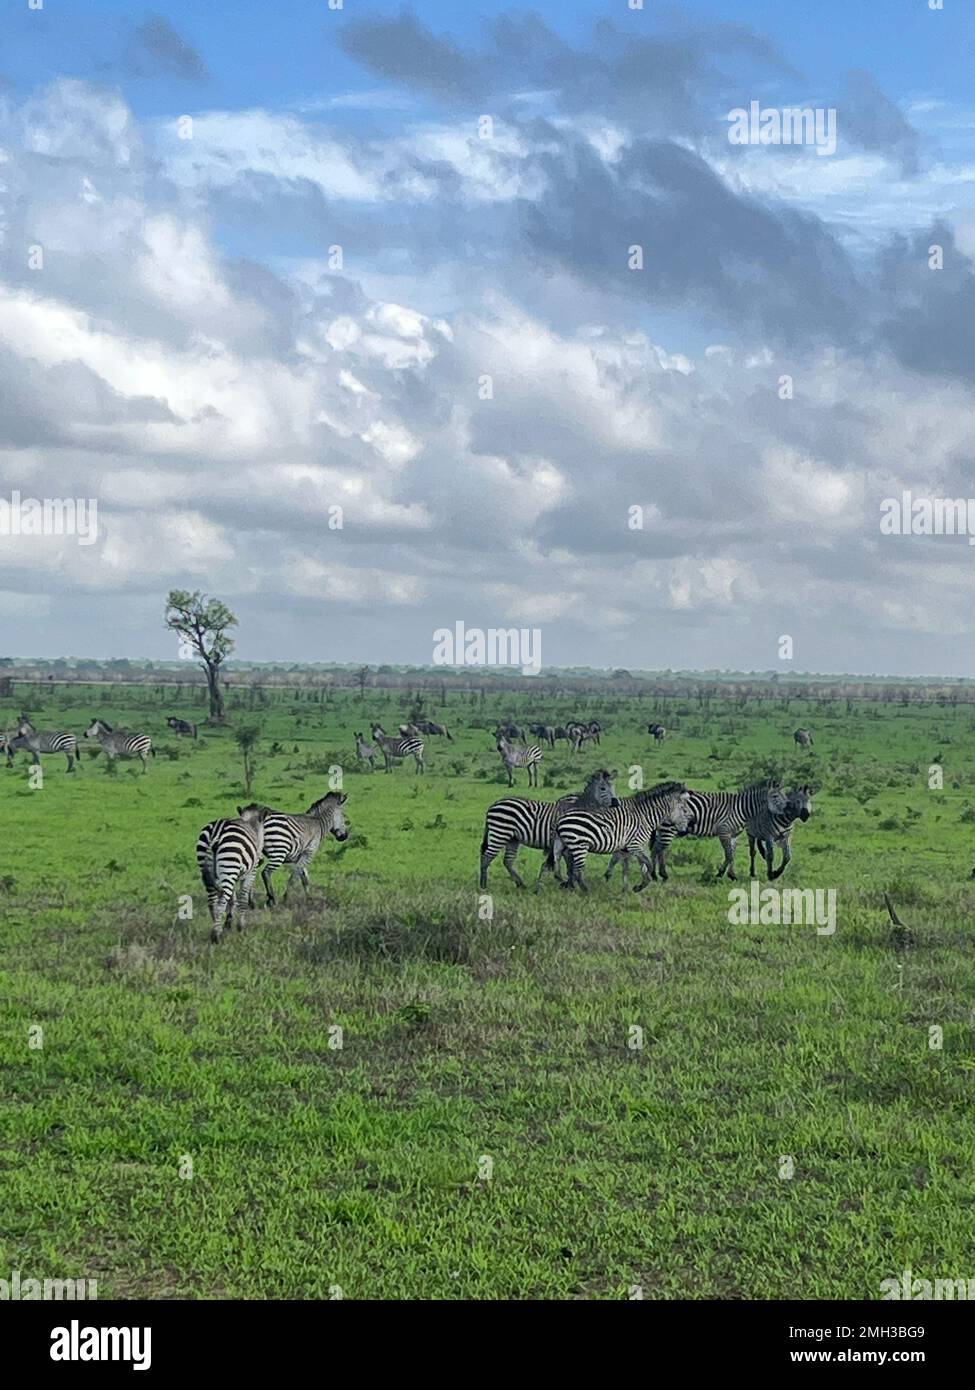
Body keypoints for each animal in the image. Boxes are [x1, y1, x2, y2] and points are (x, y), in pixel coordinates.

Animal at [195, 803, 270, 942]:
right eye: (264, 835)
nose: (261, 860)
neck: (251, 826)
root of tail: (216, 831)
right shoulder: (250, 873)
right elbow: (243, 898)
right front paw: (241, 927)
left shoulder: (234, 874)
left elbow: (232, 898)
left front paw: (228, 922)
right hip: (229, 864)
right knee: (220, 904)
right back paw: (217, 935)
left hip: (211, 867)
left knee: (212, 902)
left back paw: (216, 927)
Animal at [479, 769, 619, 889]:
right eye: (602, 788)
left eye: (613, 788)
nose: (616, 803)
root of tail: (493, 805)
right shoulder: (569, 842)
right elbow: (570, 866)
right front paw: (569, 885)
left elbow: (570, 865)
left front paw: (569, 884)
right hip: (500, 833)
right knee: (487, 856)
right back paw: (484, 885)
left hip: (512, 838)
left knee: (507, 861)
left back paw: (521, 884)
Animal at [549, 782, 694, 892]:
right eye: (685, 810)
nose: (684, 832)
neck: (645, 817)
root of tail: (560, 818)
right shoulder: (635, 845)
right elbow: (648, 865)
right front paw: (642, 885)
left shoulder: (628, 848)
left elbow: (629, 869)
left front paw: (627, 889)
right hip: (579, 845)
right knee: (578, 870)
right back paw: (586, 891)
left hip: (562, 843)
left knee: (559, 864)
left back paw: (566, 884)